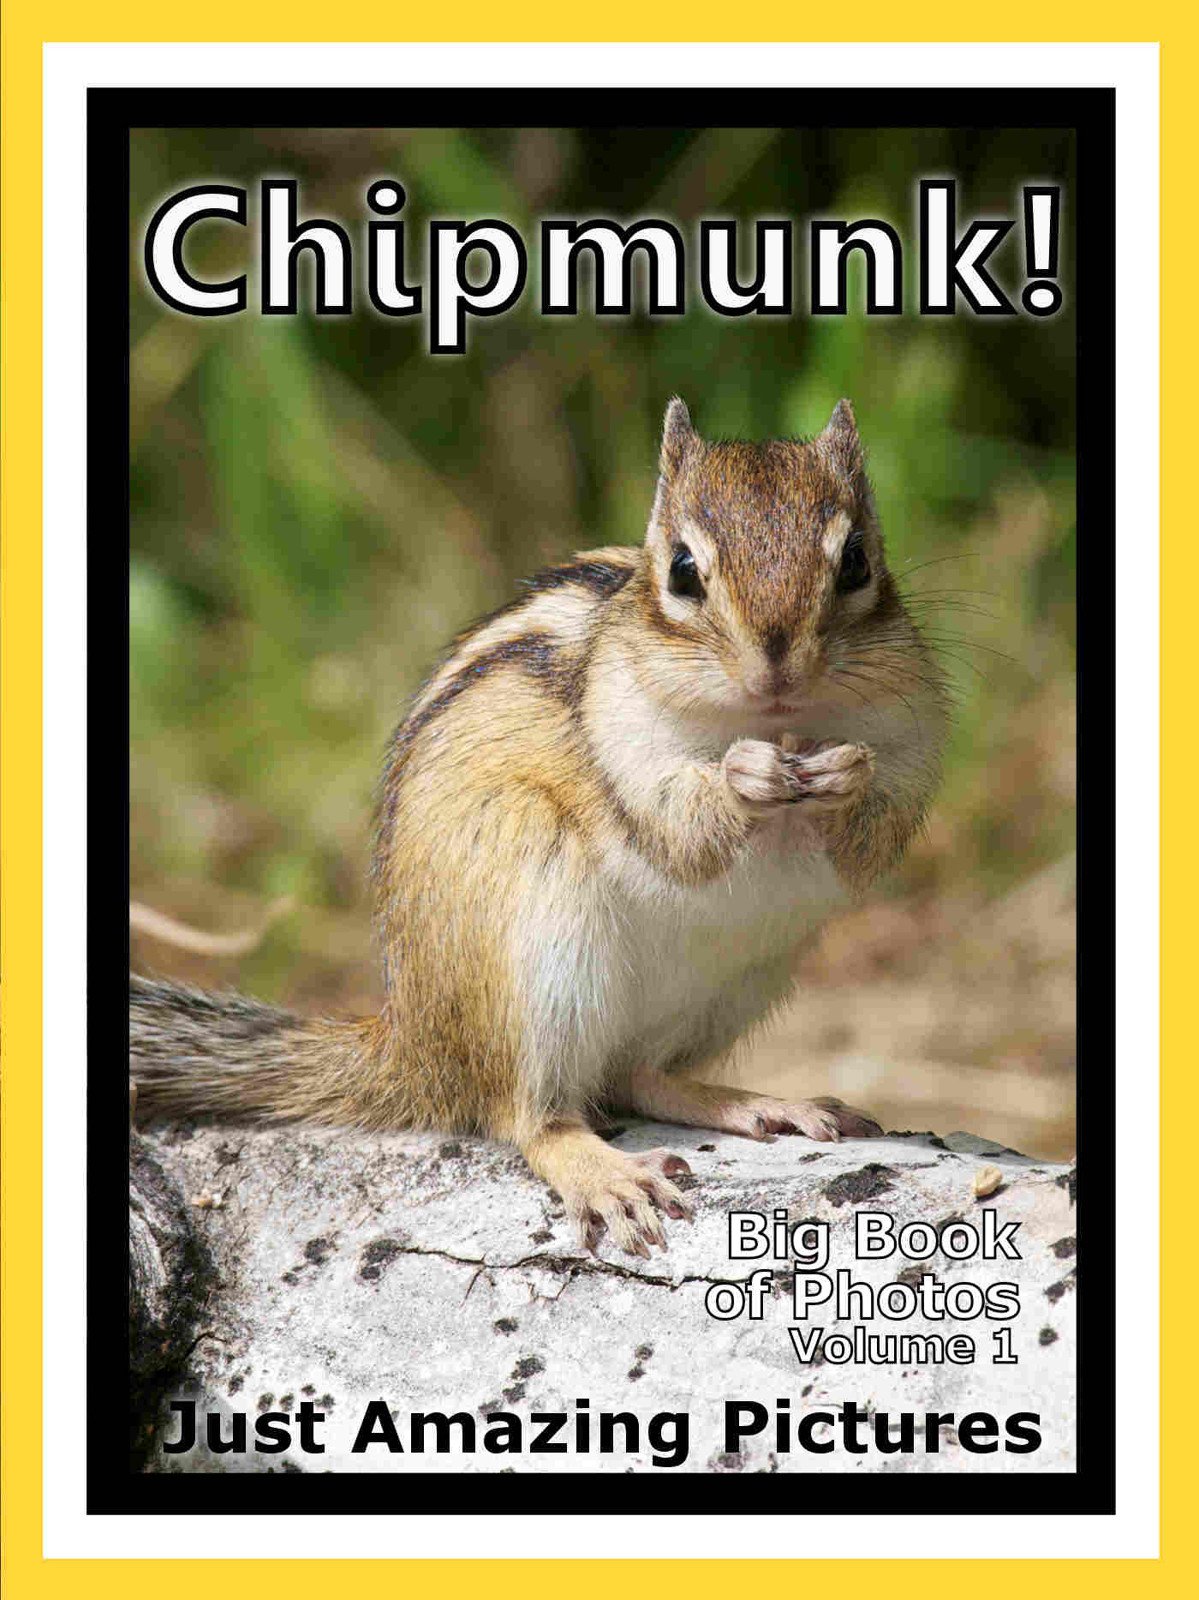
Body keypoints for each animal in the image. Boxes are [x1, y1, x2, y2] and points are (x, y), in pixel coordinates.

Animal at [131, 397, 949, 1258]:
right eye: (682, 570)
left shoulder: (914, 731)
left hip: (742, 976)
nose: (778, 675)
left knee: (637, 1075)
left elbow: (881, 819)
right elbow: (674, 823)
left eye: (854, 561)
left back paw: (754, 1103)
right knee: (527, 1115)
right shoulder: (618, 736)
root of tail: (416, 1046)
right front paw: (742, 777)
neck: (770, 724)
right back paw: (602, 1172)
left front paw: (845, 776)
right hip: (532, 931)